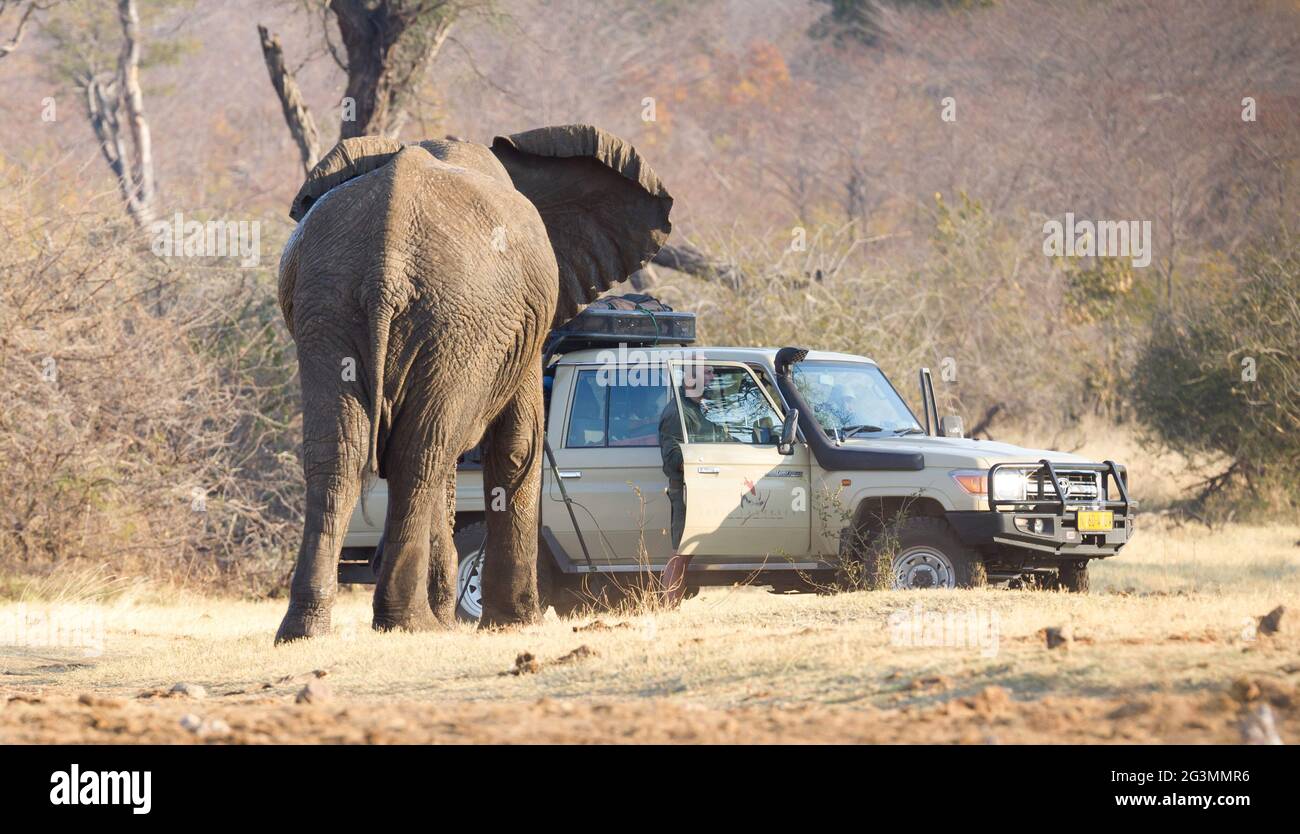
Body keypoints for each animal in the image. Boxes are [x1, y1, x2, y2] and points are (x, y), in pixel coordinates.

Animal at [273, 125, 672, 642]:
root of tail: (387, 259)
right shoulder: (525, 326)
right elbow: (519, 444)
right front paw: (515, 622)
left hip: (331, 305)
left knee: (342, 452)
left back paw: (309, 630)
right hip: (461, 319)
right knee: (420, 453)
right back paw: (412, 624)